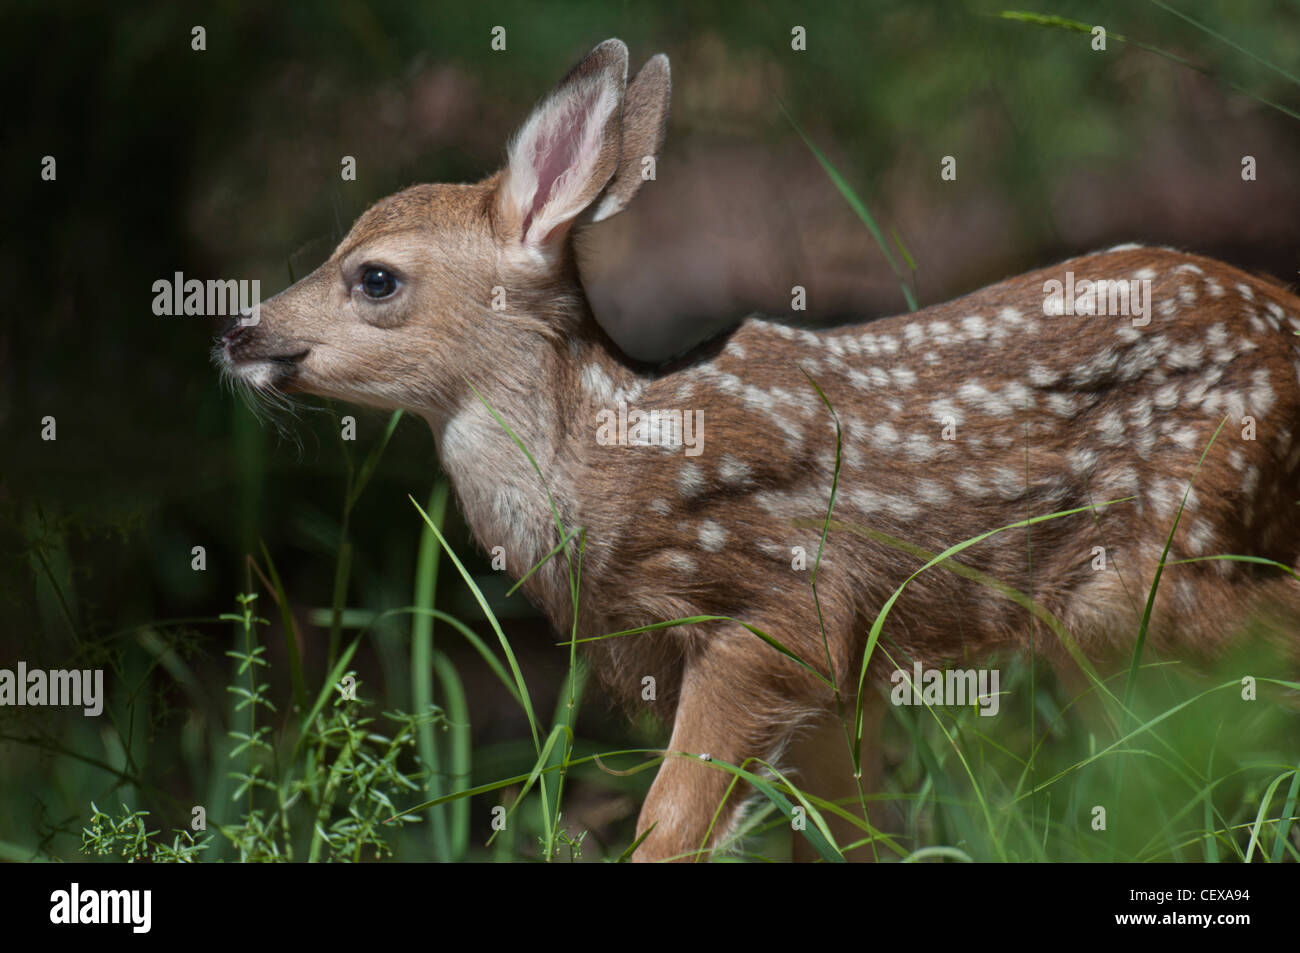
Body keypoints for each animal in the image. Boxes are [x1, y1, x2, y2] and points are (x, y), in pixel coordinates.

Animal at [218, 38, 1300, 862]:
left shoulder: (781, 606)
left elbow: (669, 825)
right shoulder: (826, 679)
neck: (599, 466)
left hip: (1162, 561)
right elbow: (851, 834)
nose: (236, 331)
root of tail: (1284, 312)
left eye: (374, 276)